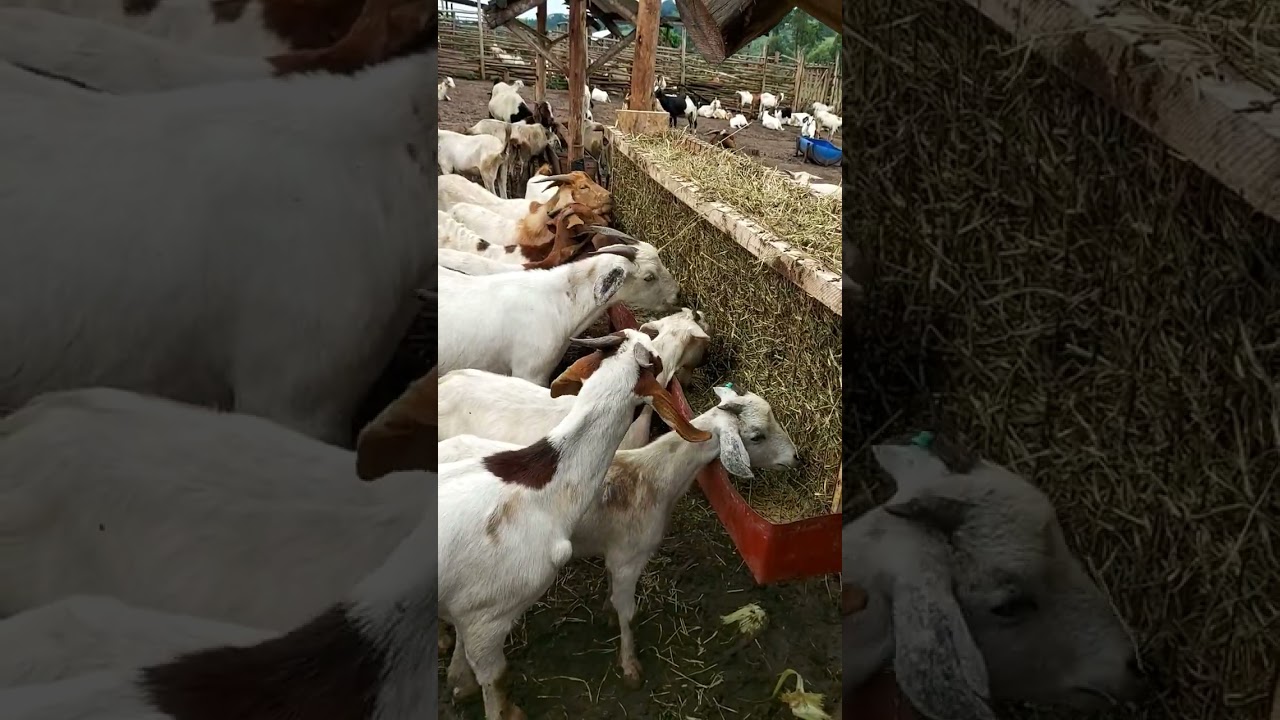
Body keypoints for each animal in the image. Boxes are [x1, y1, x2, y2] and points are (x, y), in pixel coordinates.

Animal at [426, 330, 712, 715]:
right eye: (657, 361)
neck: (542, 489)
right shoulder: (486, 617)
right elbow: (495, 685)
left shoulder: (463, 609)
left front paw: (459, 684)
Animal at [437, 384, 798, 687]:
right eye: (757, 436)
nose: (795, 458)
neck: (655, 477)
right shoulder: (629, 558)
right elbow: (628, 612)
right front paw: (630, 666)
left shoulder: (614, 554)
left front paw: (607, 613)